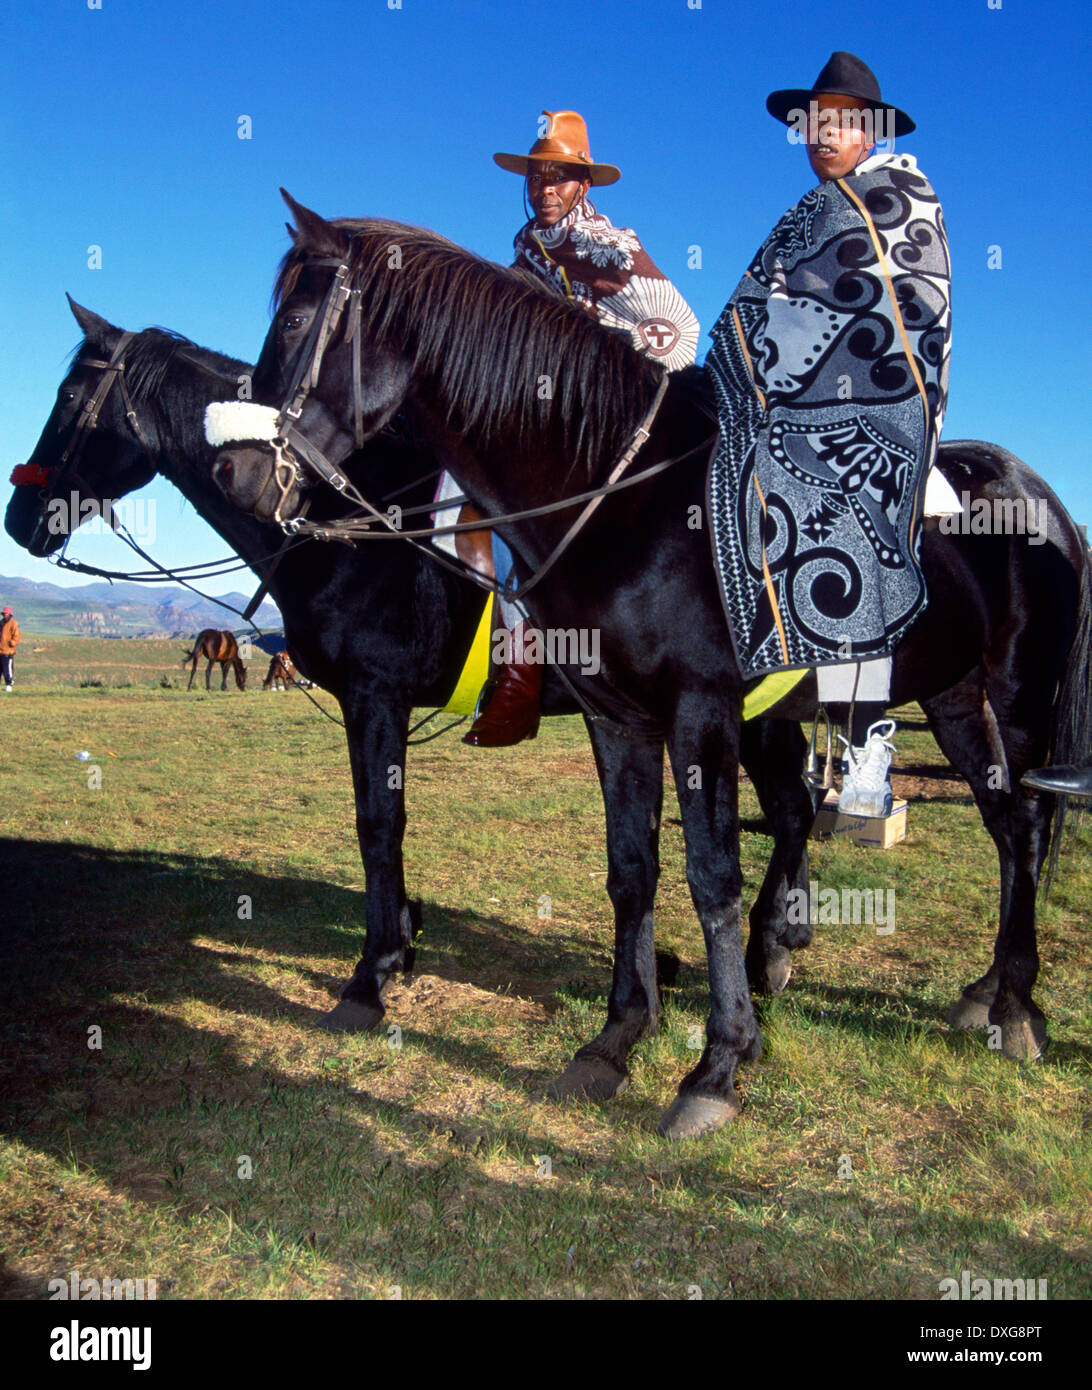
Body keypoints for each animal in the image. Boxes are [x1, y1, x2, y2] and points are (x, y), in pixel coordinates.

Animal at [208, 195, 1091, 1138]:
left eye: (293, 319)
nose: (235, 468)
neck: (621, 502)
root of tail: (1038, 492)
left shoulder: (698, 712)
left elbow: (711, 878)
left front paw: (717, 1067)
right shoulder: (616, 717)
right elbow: (631, 870)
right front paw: (615, 1039)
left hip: (1019, 693)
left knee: (1024, 825)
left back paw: (1016, 1007)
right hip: (957, 698)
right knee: (1000, 824)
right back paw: (986, 989)